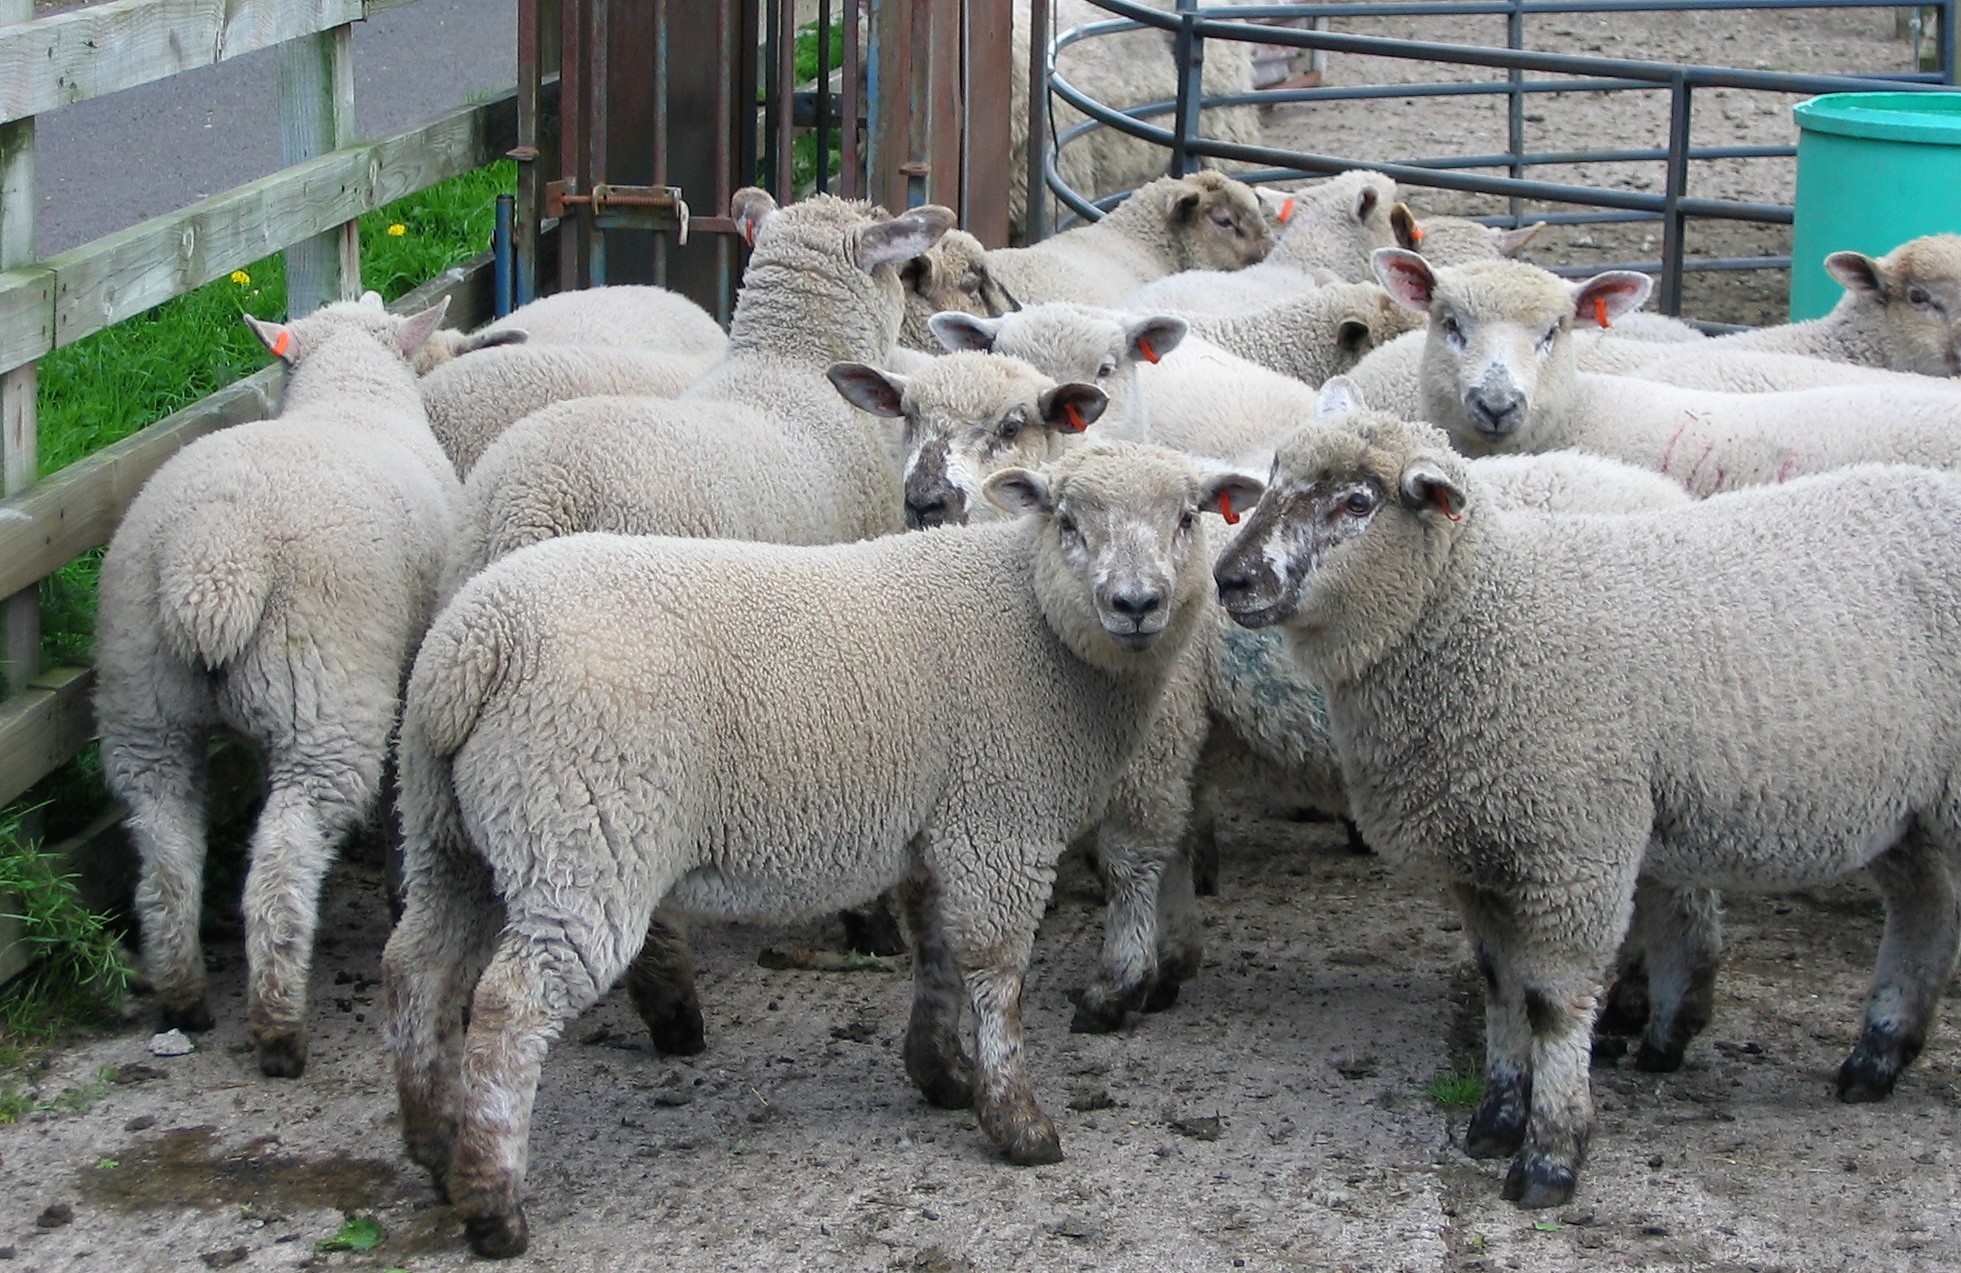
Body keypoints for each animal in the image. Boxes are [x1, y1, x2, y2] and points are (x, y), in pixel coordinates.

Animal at [94, 296, 459, 1080]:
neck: (350, 394)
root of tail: (214, 559)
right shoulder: (405, 672)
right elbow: (397, 791)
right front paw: (400, 890)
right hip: (325, 696)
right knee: (284, 856)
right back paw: (278, 1026)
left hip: (144, 697)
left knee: (166, 840)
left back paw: (183, 995)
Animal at [382, 442, 1259, 1255]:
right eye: (1068, 521)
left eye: (1188, 517)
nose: (1136, 603)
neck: (1031, 618)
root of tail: (475, 646)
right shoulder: (997, 822)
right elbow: (996, 974)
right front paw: (1017, 1120)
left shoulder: (935, 826)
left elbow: (936, 952)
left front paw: (941, 1073)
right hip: (584, 833)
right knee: (509, 1002)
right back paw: (493, 1204)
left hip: (447, 830)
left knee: (418, 962)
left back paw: (435, 1145)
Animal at [1213, 412, 1961, 1210]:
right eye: (1273, 479)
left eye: (1358, 502)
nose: (1230, 578)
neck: (1484, 613)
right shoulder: (1481, 855)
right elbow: (1500, 986)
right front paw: (1494, 1121)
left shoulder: (1573, 846)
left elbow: (1551, 1001)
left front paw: (1550, 1156)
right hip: (1903, 803)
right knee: (1924, 908)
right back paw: (1875, 1059)